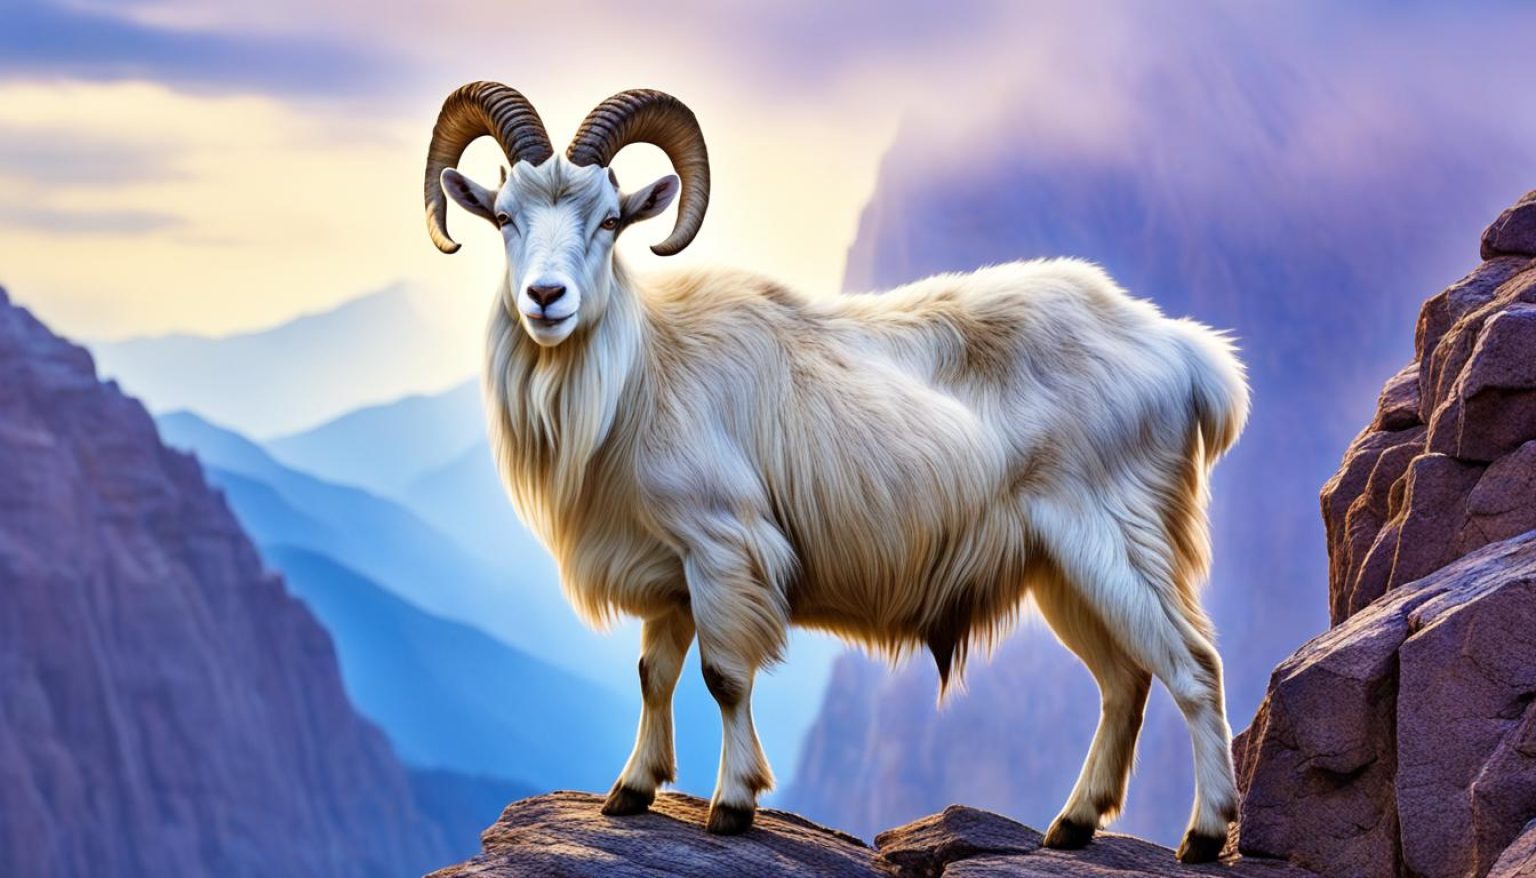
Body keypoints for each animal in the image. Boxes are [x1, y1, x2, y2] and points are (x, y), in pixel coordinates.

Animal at [422, 82, 1250, 864]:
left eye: (608, 221)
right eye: (504, 217)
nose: (545, 298)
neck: (643, 374)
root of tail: (1185, 354)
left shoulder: (724, 550)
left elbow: (723, 676)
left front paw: (732, 806)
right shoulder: (673, 572)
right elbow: (653, 672)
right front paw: (628, 792)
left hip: (1115, 537)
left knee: (1193, 666)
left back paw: (1205, 835)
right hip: (1064, 571)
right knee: (1123, 681)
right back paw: (1072, 826)